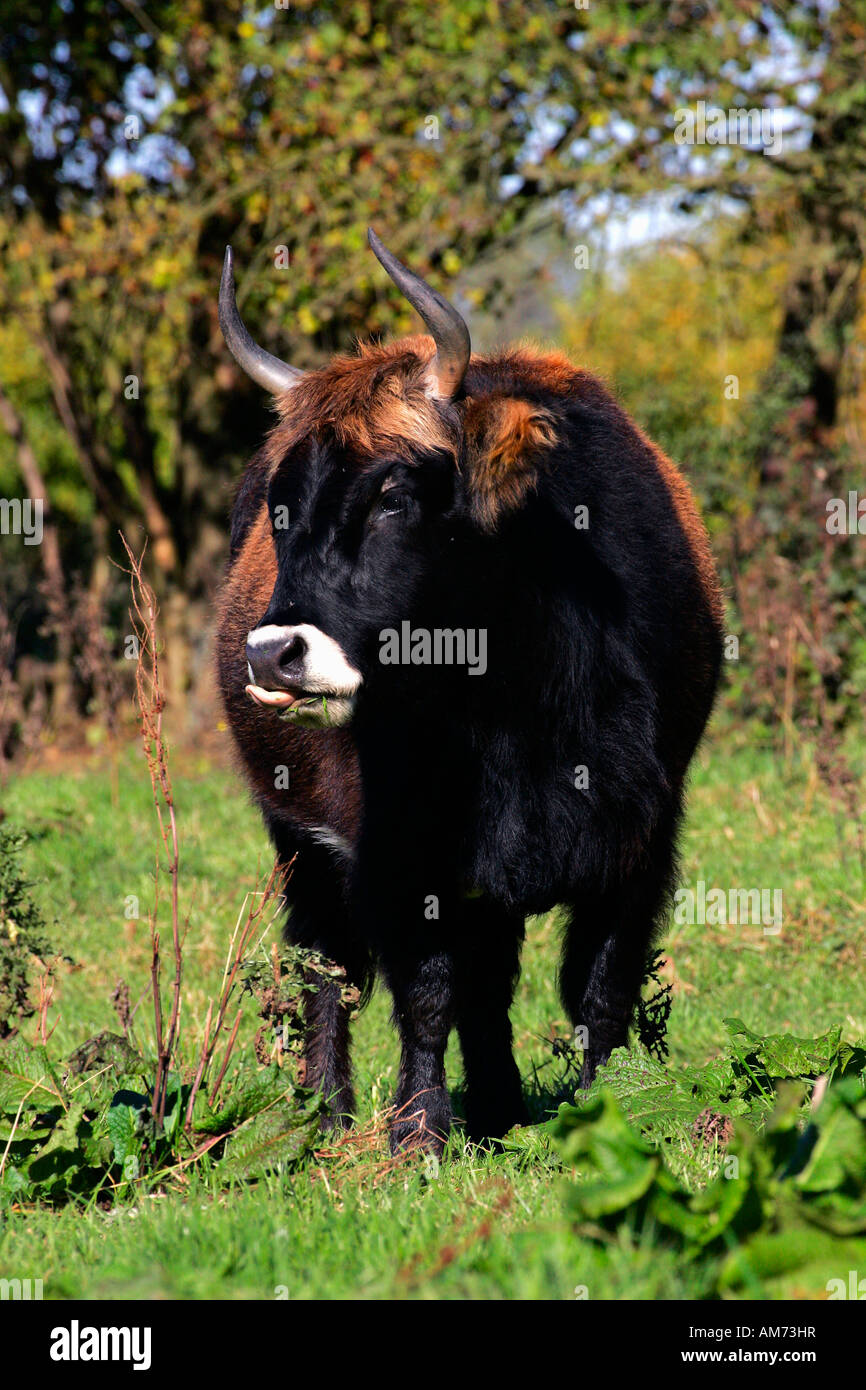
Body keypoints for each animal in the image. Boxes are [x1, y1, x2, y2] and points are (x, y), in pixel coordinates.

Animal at [215, 229, 723, 1156]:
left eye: (393, 494)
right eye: (280, 505)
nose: (273, 655)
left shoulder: (641, 833)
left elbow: (599, 988)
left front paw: (601, 1108)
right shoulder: (401, 844)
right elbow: (426, 991)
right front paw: (417, 1131)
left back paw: (497, 1105)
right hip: (299, 841)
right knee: (326, 966)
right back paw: (327, 1117)